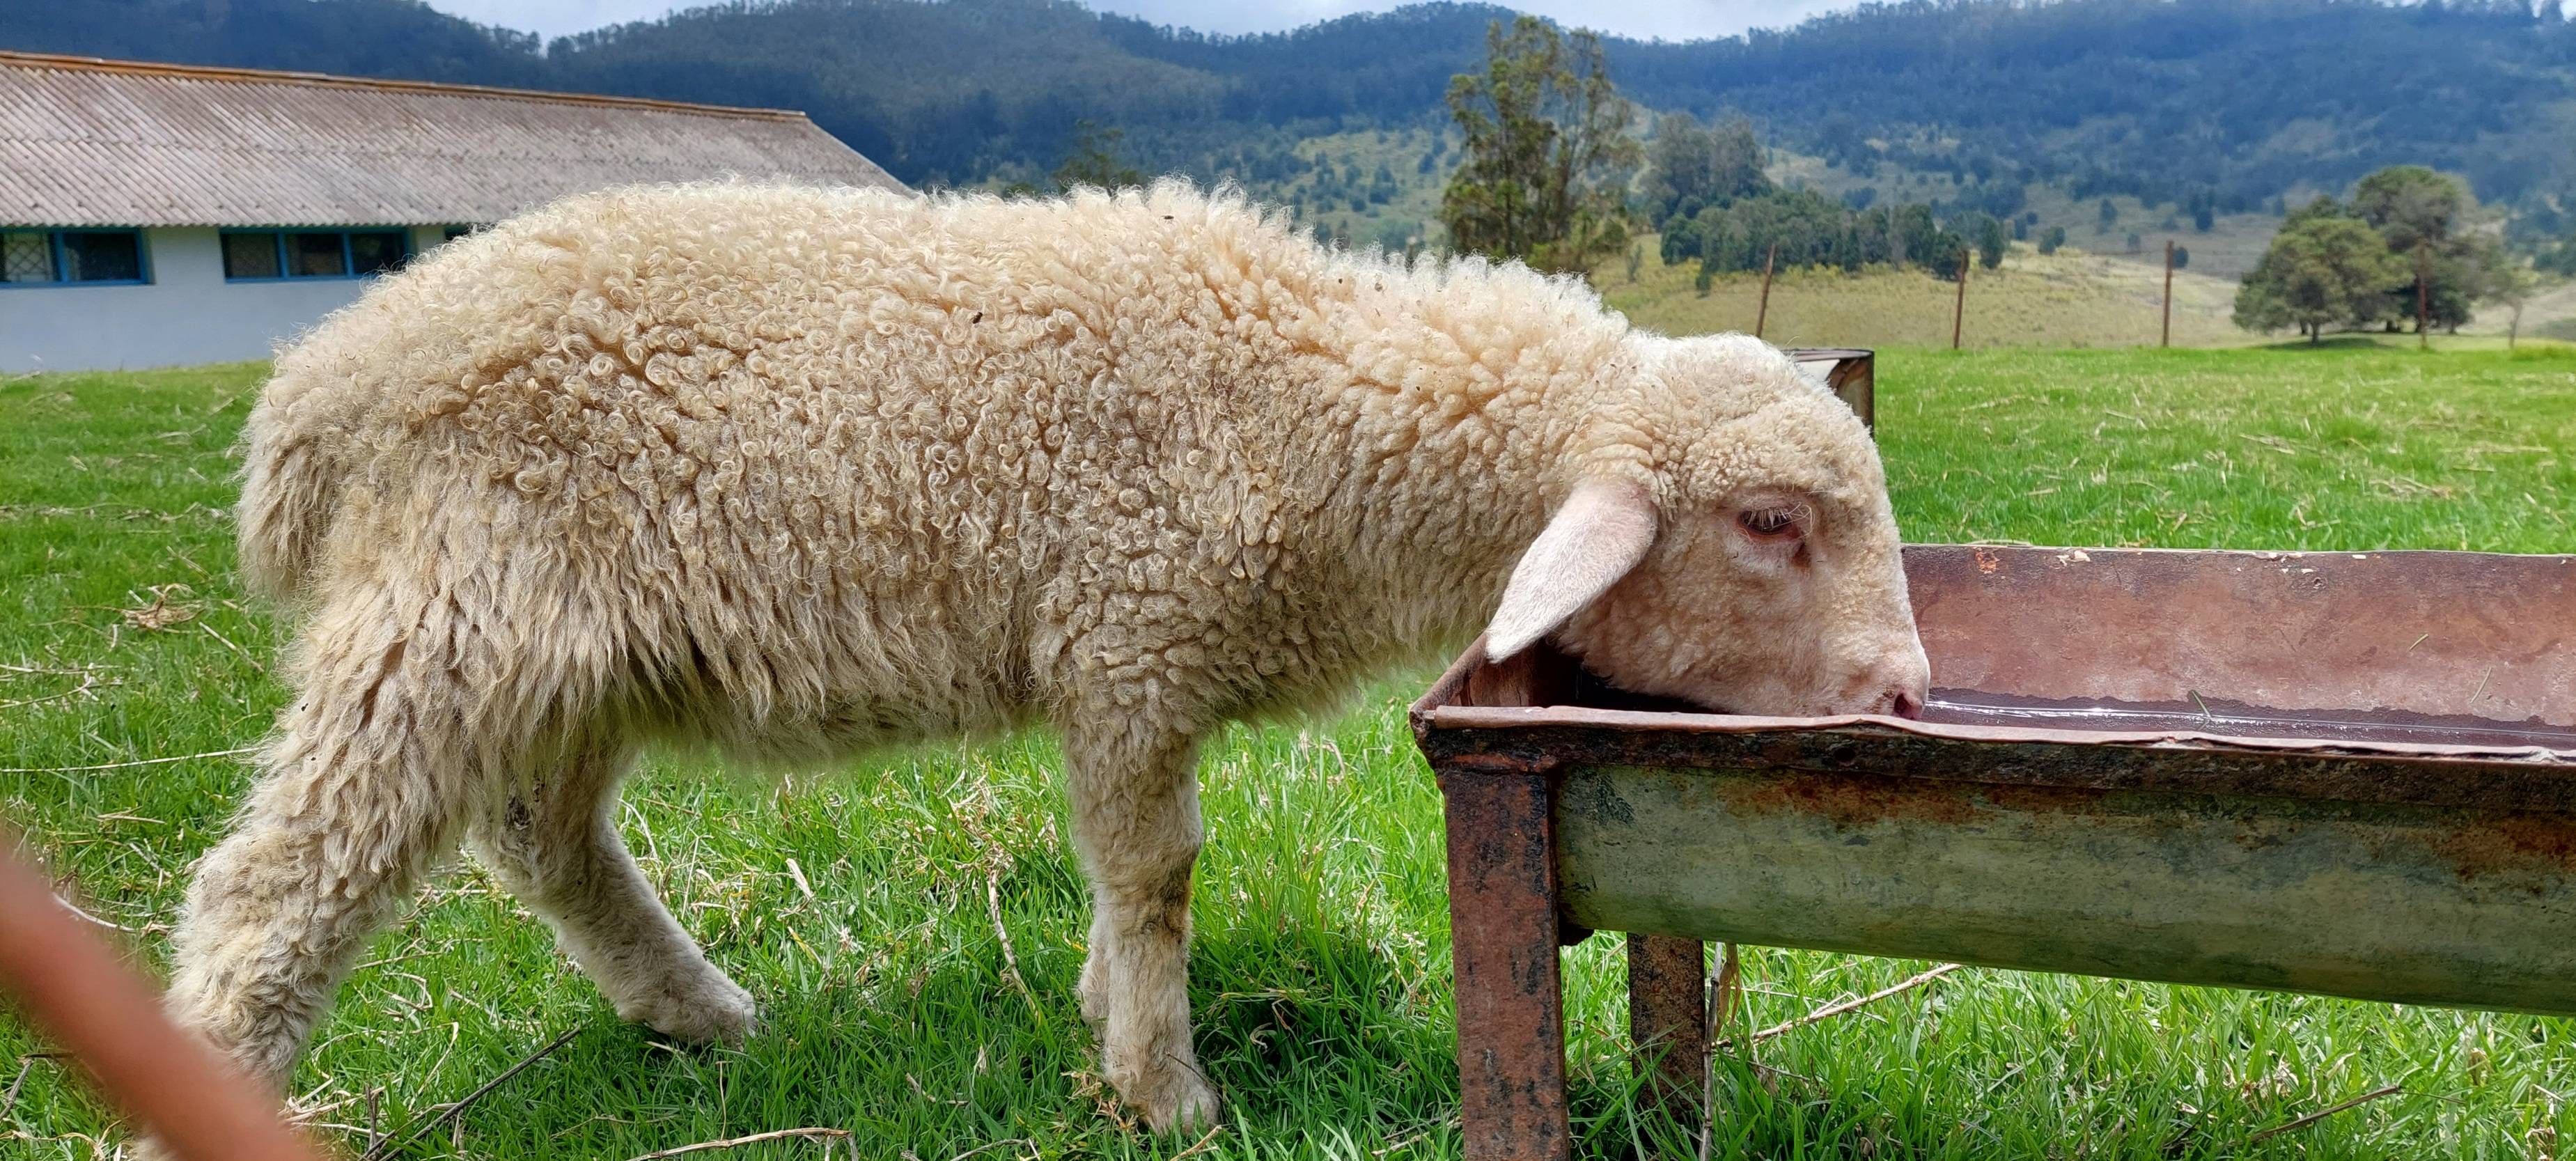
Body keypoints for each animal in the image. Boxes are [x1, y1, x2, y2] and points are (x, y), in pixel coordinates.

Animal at [166, 179, 1929, 1135]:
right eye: (1768, 523)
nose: (1907, 692)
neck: (1294, 406)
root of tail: (315, 391)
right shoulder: (1125, 628)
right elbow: (1153, 871)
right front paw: (1162, 1088)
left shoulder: (1130, 659)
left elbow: (1114, 875)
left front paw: (1096, 1014)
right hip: (455, 611)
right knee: (281, 884)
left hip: (573, 652)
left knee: (544, 838)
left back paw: (701, 1013)